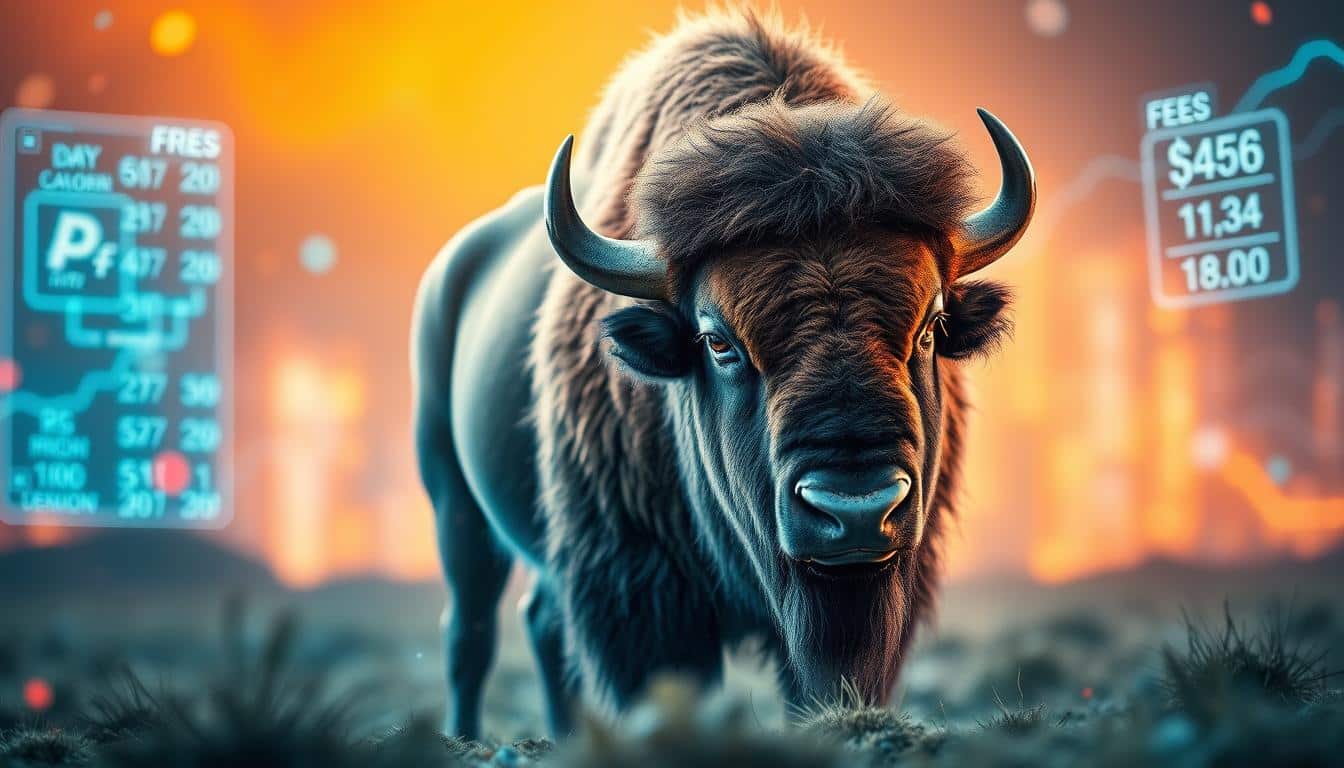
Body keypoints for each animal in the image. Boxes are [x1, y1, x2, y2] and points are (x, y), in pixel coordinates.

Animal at [412, 10, 1034, 738]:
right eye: (718, 342)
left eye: (931, 325)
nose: (855, 509)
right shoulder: (643, 591)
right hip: (454, 505)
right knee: (472, 631)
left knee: (541, 622)